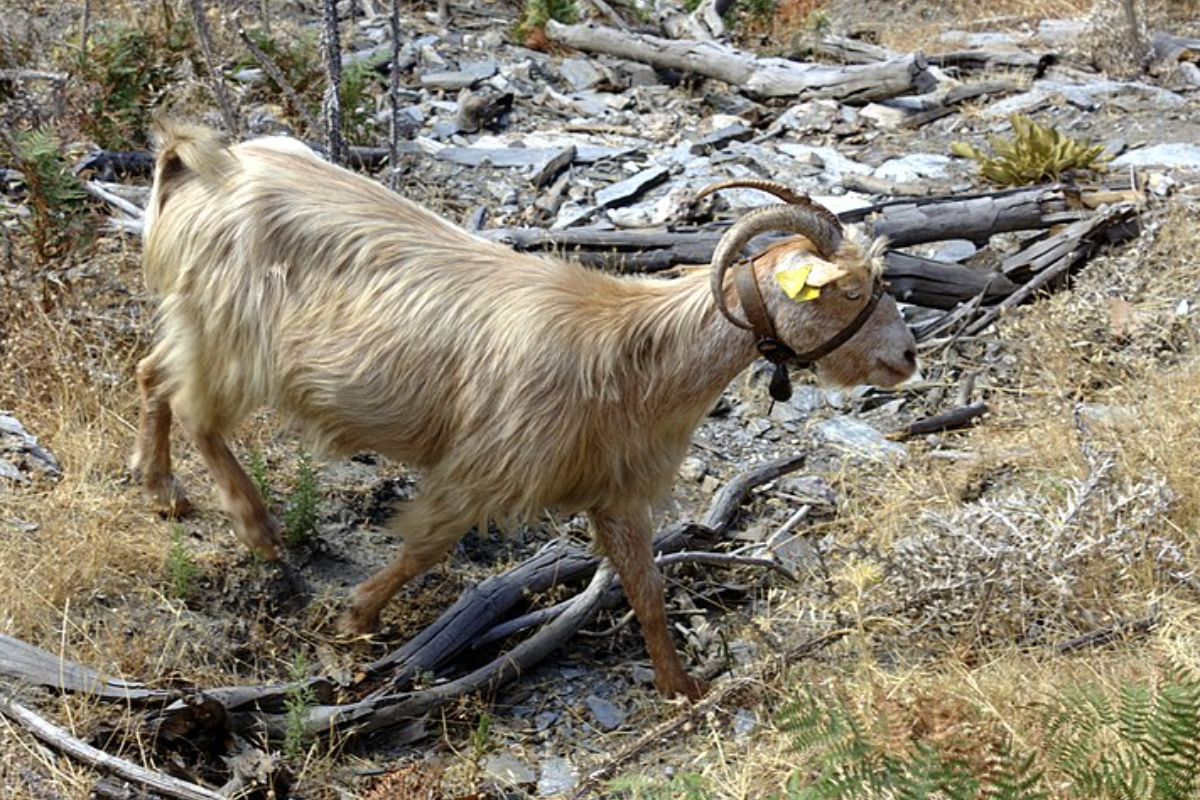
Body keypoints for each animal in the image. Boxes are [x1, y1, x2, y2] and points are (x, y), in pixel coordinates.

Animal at [133, 122, 917, 700]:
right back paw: (258, 528)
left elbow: (647, 588)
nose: (908, 357)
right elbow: (424, 547)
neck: (637, 355)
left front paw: (681, 688)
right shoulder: (482, 468)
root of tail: (201, 163)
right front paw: (353, 622)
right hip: (232, 336)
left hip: (199, 324)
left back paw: (162, 489)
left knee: (152, 374)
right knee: (195, 409)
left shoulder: (617, 493)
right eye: (850, 291)